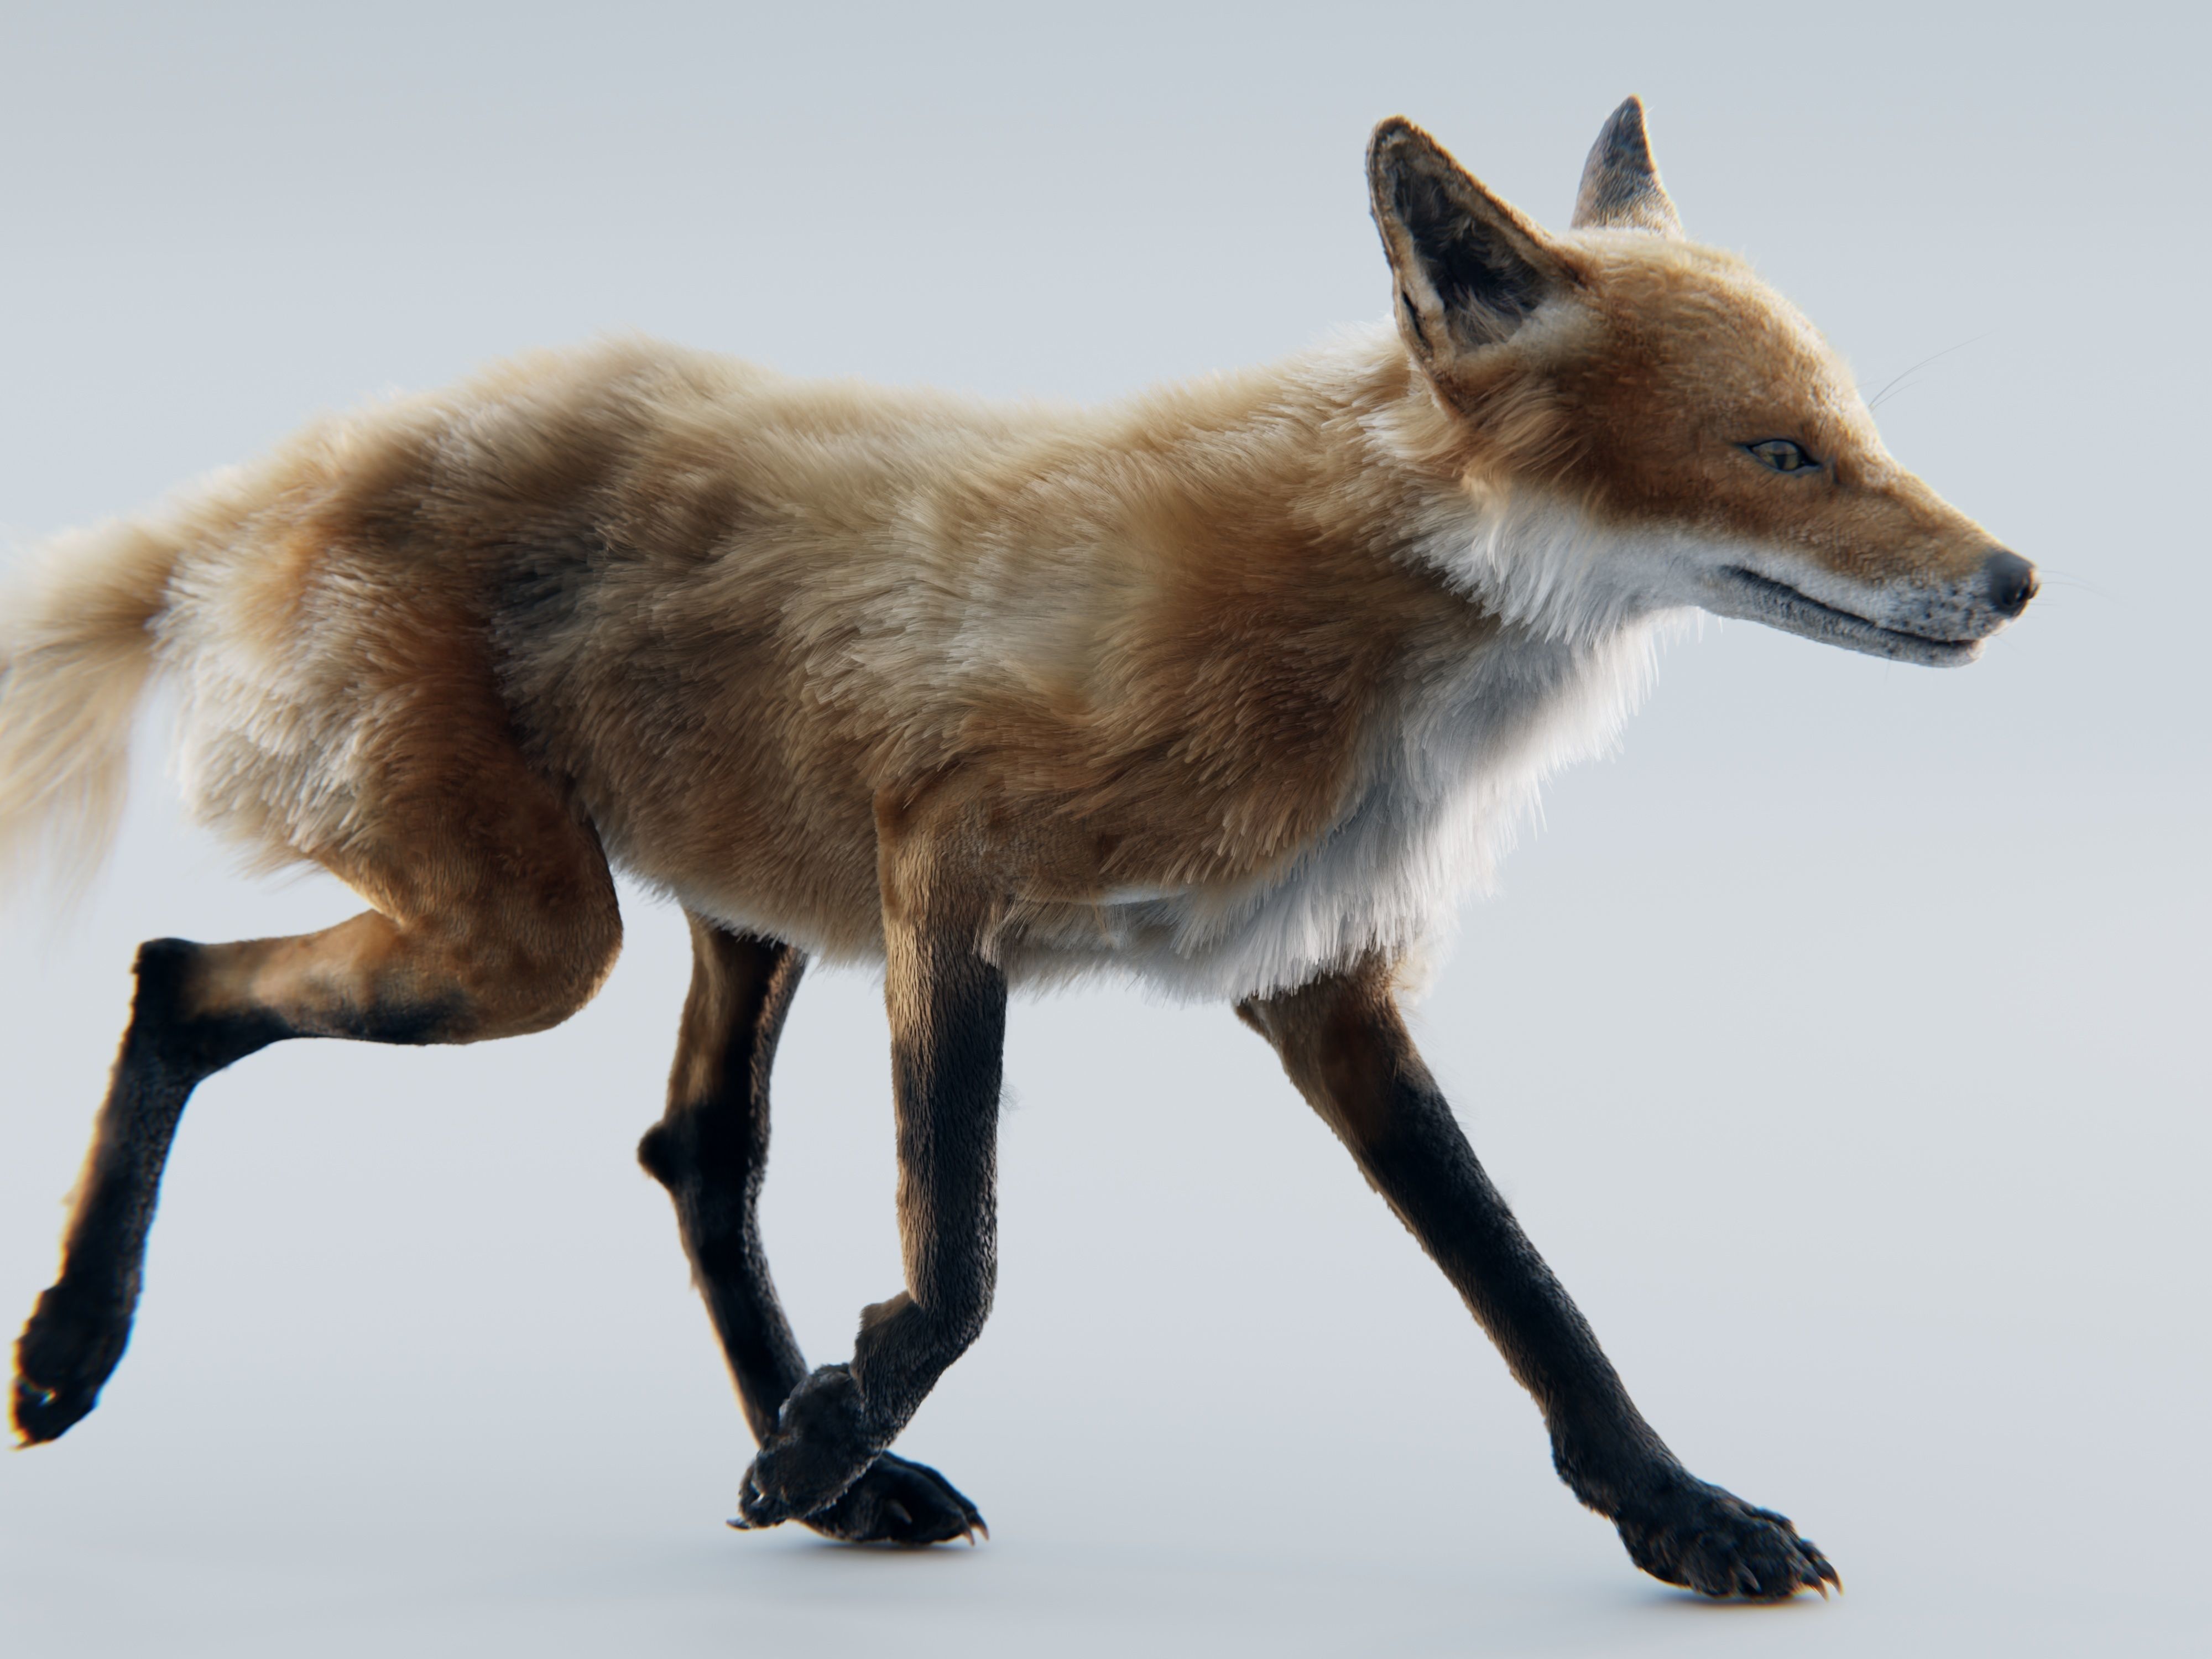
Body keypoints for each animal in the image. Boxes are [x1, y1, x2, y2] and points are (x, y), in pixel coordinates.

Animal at [0, 98, 2031, 1599]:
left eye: (1853, 431)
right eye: (1778, 457)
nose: (2016, 580)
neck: (1382, 640)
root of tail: (290, 469)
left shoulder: (1322, 980)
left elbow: (1527, 1284)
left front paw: (1679, 1513)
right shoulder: (954, 862)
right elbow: (963, 1254)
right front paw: (845, 1418)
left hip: (735, 899)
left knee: (693, 1152)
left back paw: (828, 1477)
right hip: (530, 939)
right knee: (176, 982)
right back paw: (78, 1343)